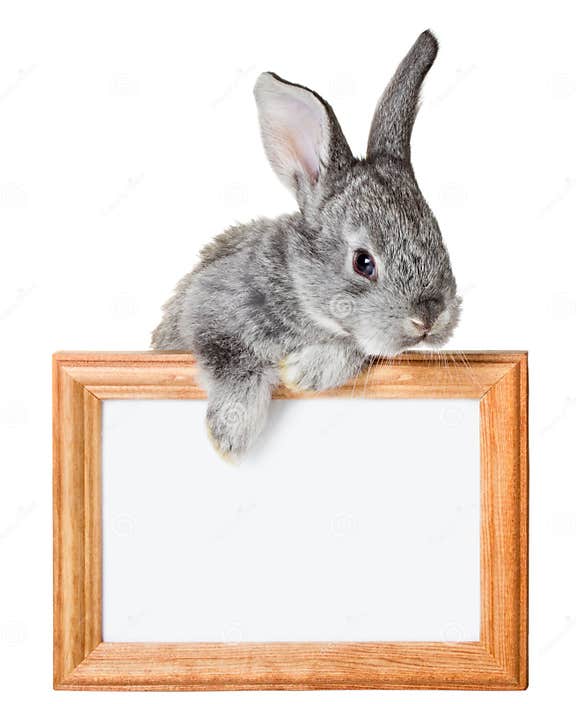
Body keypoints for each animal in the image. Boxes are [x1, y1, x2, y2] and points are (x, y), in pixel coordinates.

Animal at [151, 30, 461, 461]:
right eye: (363, 262)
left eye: (439, 237)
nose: (428, 317)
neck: (301, 292)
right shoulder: (207, 306)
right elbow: (233, 360)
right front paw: (231, 435)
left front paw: (305, 372)